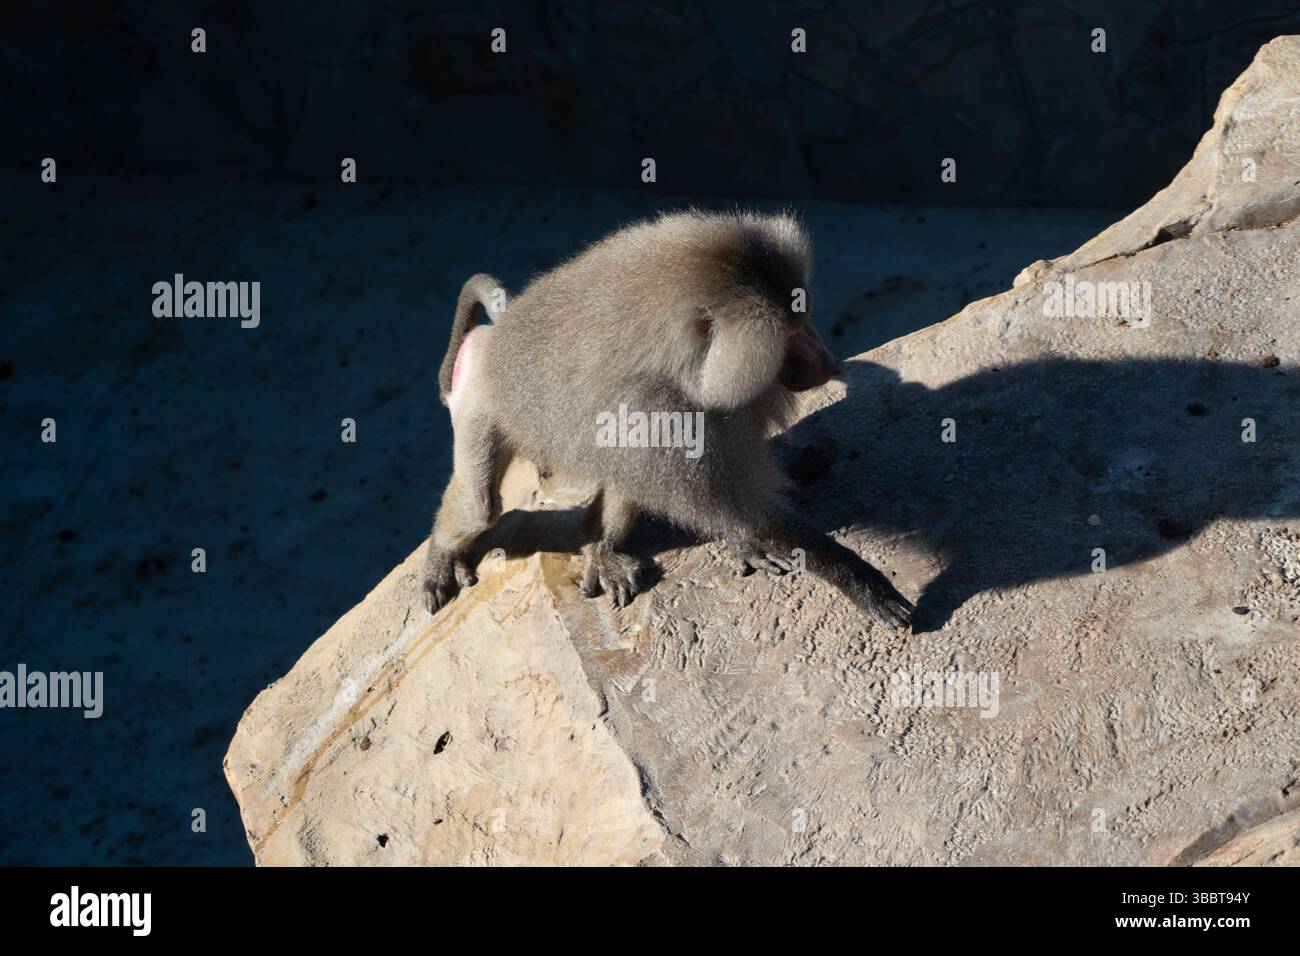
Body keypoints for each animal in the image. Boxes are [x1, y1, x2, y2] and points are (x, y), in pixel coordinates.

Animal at [423, 210, 913, 630]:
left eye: (806, 321)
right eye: (792, 335)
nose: (830, 364)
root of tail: (490, 337)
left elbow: (732, 500)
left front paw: (744, 539)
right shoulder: (655, 412)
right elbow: (750, 511)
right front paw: (864, 584)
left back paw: (601, 547)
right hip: (477, 401)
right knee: (481, 506)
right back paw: (444, 553)